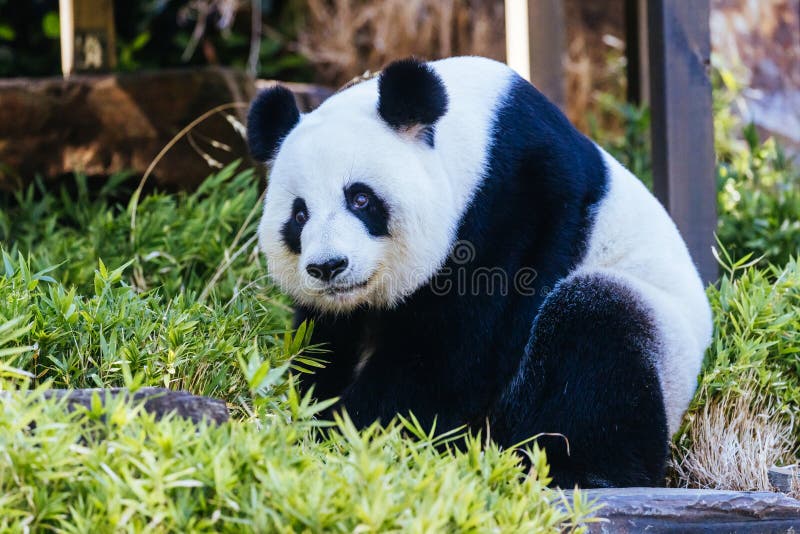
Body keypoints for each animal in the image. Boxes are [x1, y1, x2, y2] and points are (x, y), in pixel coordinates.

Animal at [247, 56, 713, 488]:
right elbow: (324, 344)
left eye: (360, 199)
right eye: (299, 215)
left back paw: (578, 472)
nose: (328, 267)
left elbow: (449, 357)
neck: (474, 137)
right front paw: (305, 416)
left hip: (658, 337)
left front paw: (347, 437)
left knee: (599, 331)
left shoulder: (516, 205)